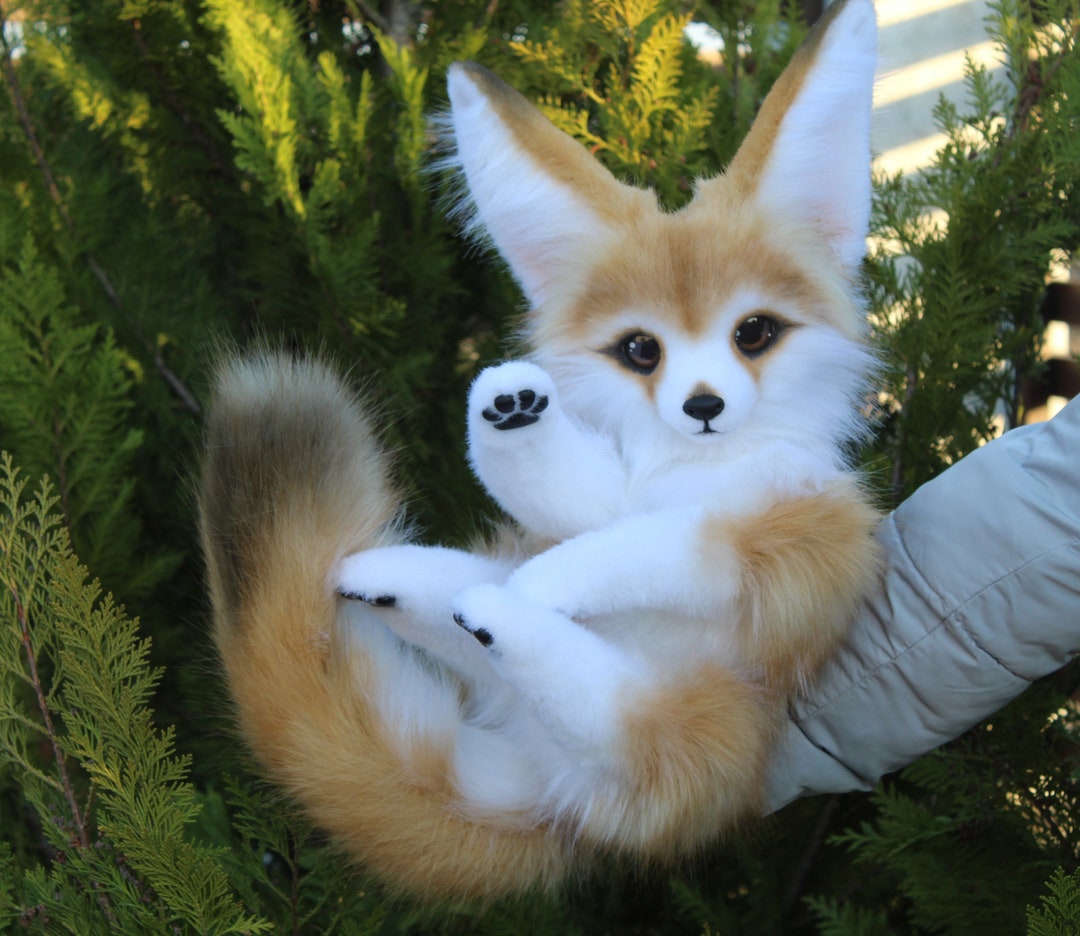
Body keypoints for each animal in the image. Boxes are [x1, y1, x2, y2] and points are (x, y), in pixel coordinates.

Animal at [200, 0, 882, 901]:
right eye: (640, 351)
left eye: (755, 333)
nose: (702, 407)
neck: (692, 467)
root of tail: (554, 802)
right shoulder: (617, 489)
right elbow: (582, 499)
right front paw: (509, 408)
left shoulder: (791, 534)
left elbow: (649, 546)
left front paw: (554, 578)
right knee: (465, 613)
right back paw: (398, 581)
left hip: (686, 734)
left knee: (588, 693)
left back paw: (503, 610)